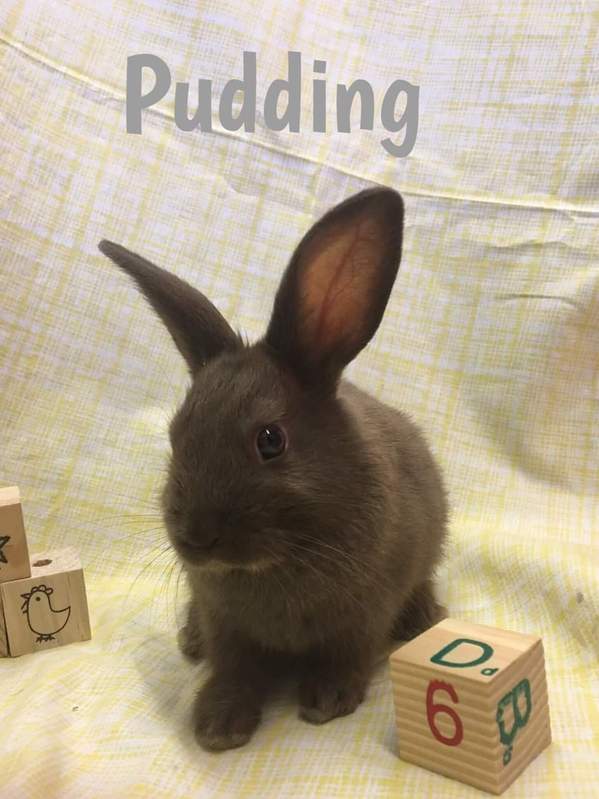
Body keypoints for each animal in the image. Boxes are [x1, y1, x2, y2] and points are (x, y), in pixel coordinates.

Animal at [98, 187, 448, 752]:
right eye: (176, 434)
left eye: (270, 440)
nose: (196, 539)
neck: (275, 562)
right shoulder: (226, 624)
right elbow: (233, 668)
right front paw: (218, 725)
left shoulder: (364, 614)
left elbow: (346, 653)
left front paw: (328, 701)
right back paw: (190, 639)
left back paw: (423, 621)